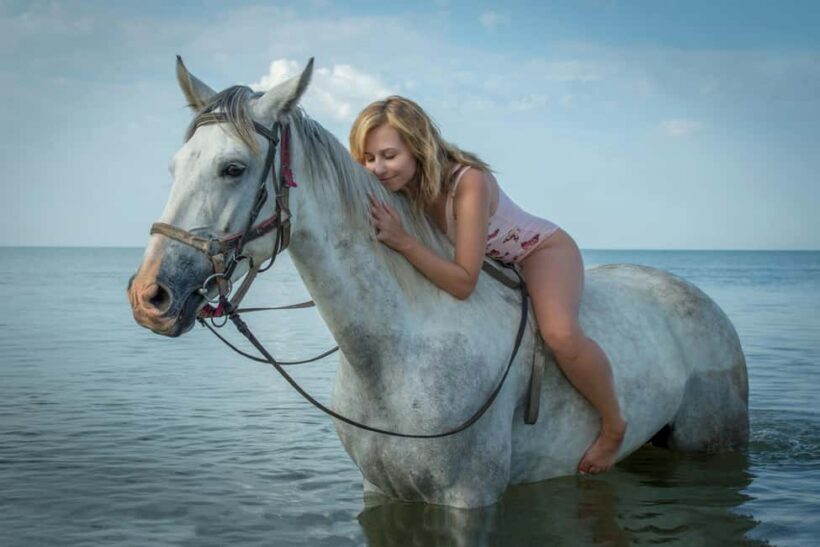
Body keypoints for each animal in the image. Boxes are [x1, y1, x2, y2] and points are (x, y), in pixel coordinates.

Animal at [127, 57, 749, 509]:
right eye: (175, 166)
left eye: (232, 168)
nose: (149, 297)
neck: (395, 354)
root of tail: (697, 297)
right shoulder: (381, 492)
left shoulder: (468, 501)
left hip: (710, 443)